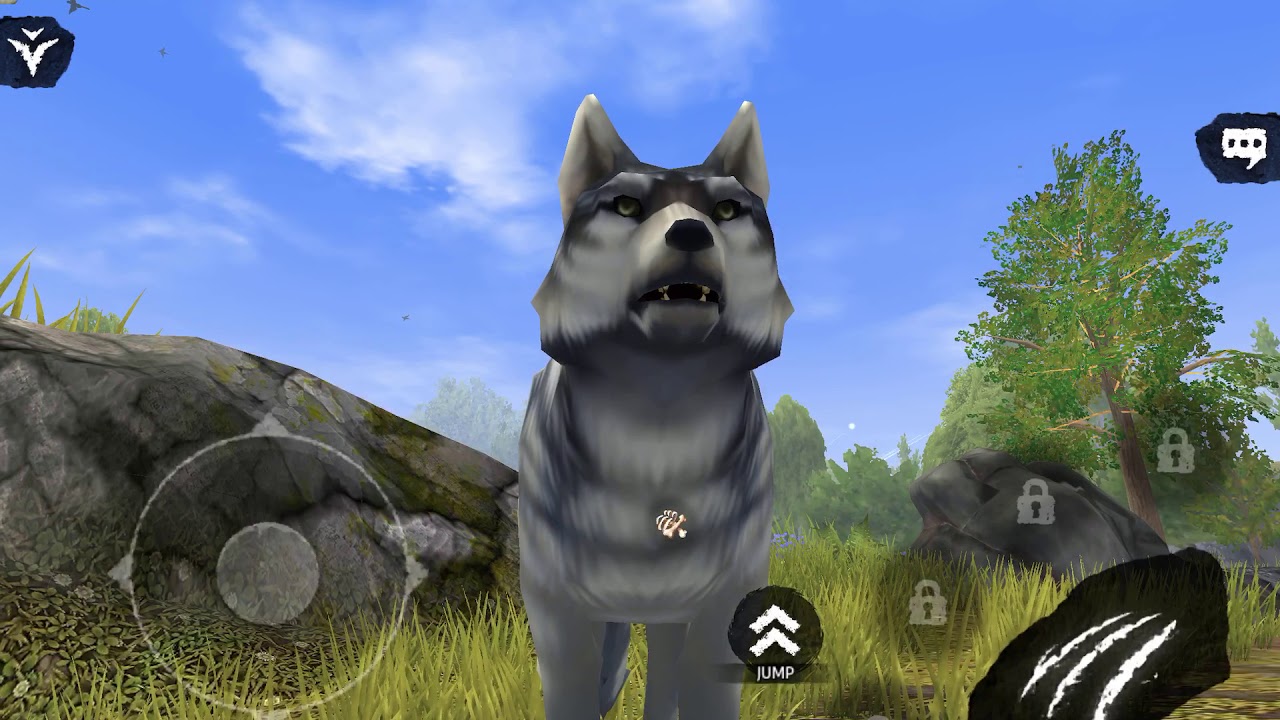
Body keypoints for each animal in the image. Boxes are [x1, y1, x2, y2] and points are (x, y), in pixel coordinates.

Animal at [518, 94, 792, 720]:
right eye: (626, 205)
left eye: (726, 209)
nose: (690, 232)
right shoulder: (557, 610)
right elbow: (573, 691)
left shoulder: (722, 603)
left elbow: (703, 693)